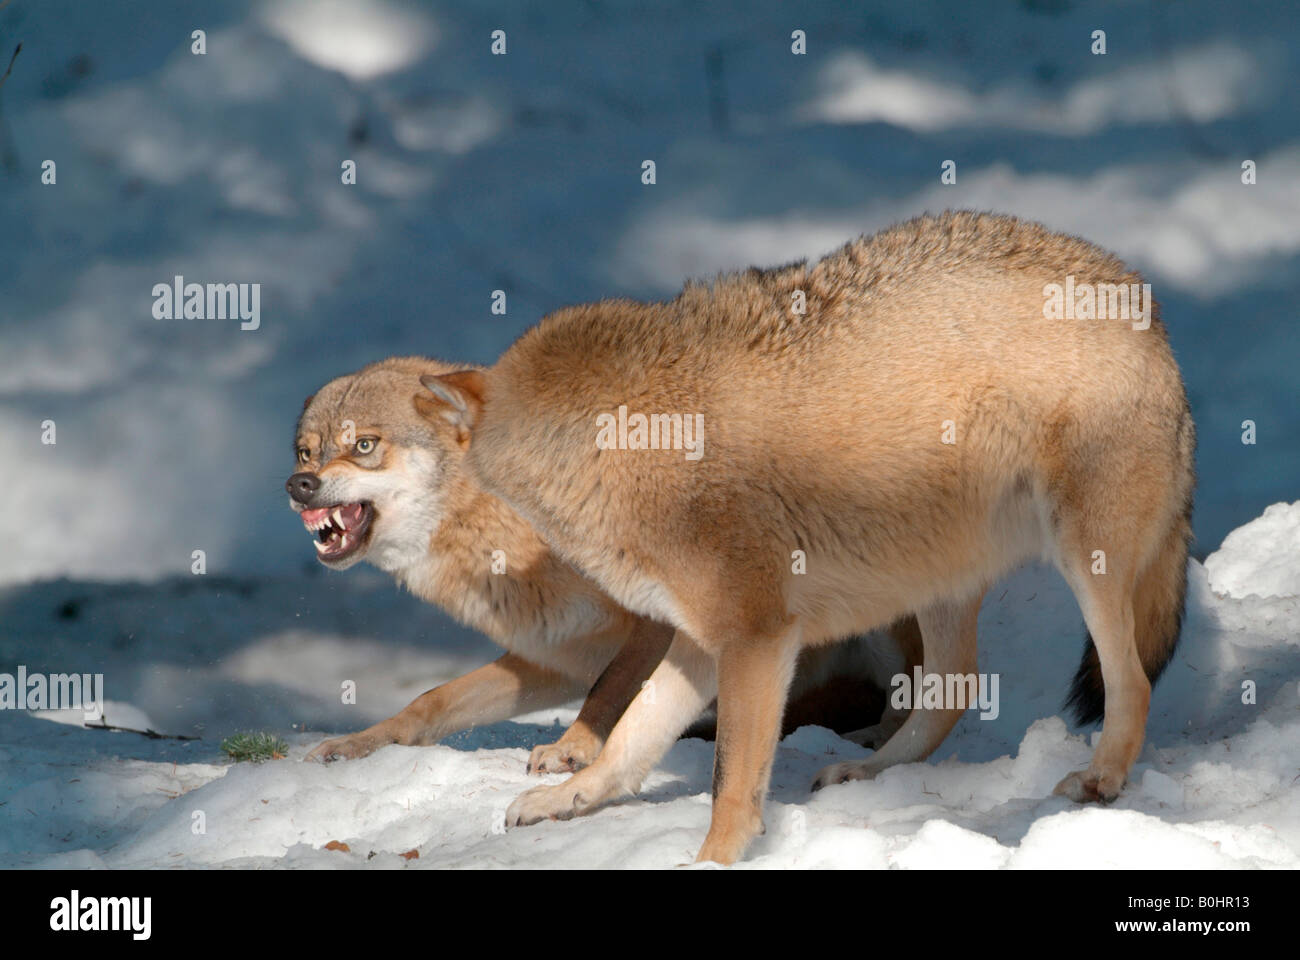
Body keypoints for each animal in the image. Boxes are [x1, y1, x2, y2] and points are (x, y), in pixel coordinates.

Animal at [287, 358, 918, 773]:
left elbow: (609, 693)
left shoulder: (658, 624)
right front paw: (359, 744)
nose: (298, 485)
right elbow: (431, 700)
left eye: (364, 446)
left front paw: (572, 750)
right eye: (306, 451)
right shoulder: (557, 656)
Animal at [423, 211, 1196, 865]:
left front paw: (714, 860)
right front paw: (567, 798)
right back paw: (865, 770)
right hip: (937, 585)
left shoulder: (759, 638)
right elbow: (627, 743)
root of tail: (1144, 304)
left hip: (1084, 564)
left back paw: (1099, 781)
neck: (626, 450)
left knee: (1130, 684)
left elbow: (731, 782)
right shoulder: (700, 642)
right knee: (953, 692)